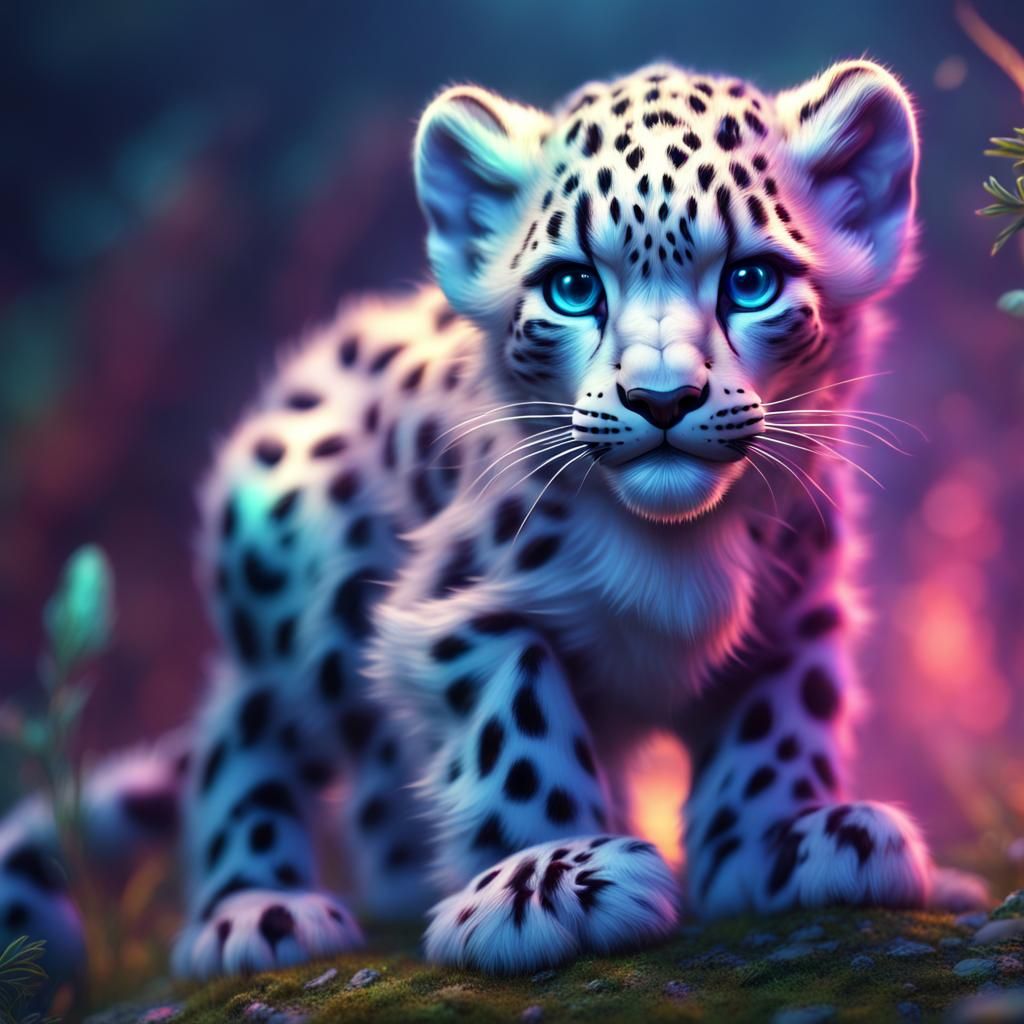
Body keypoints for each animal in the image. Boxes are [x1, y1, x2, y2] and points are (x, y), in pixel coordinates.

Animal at [0, 58, 989, 985]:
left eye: (751, 281)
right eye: (572, 287)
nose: (662, 398)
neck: (678, 549)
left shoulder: (800, 605)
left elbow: (779, 721)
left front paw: (786, 843)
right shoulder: (460, 613)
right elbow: (519, 726)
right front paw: (552, 881)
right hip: (296, 607)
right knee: (245, 732)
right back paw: (260, 911)